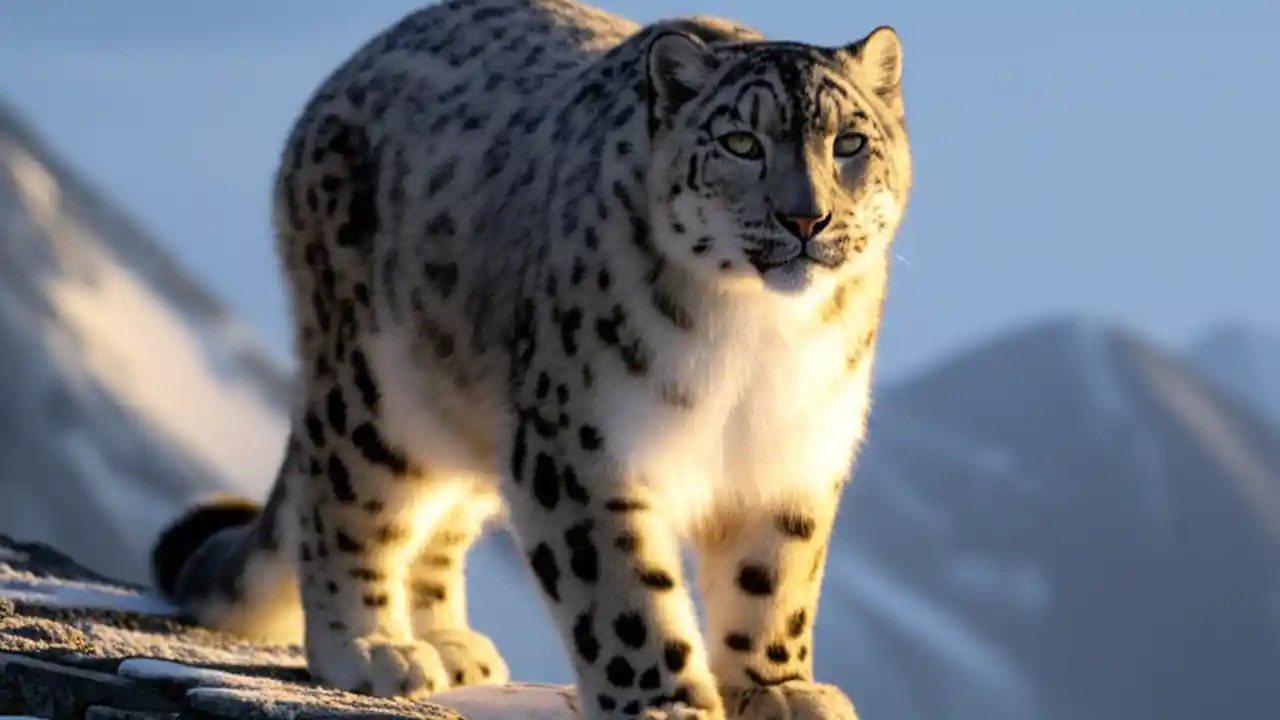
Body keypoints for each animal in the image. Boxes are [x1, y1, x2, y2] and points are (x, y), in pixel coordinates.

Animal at [150, 1, 912, 718]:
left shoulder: (793, 450)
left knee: (438, 519)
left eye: (849, 142)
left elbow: (773, 579)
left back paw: (451, 644)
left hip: (467, 402)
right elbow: (623, 592)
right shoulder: (581, 442)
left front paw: (776, 687)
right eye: (740, 142)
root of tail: (341, 77)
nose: (806, 218)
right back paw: (372, 646)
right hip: (377, 386)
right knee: (347, 498)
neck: (758, 341)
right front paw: (662, 702)